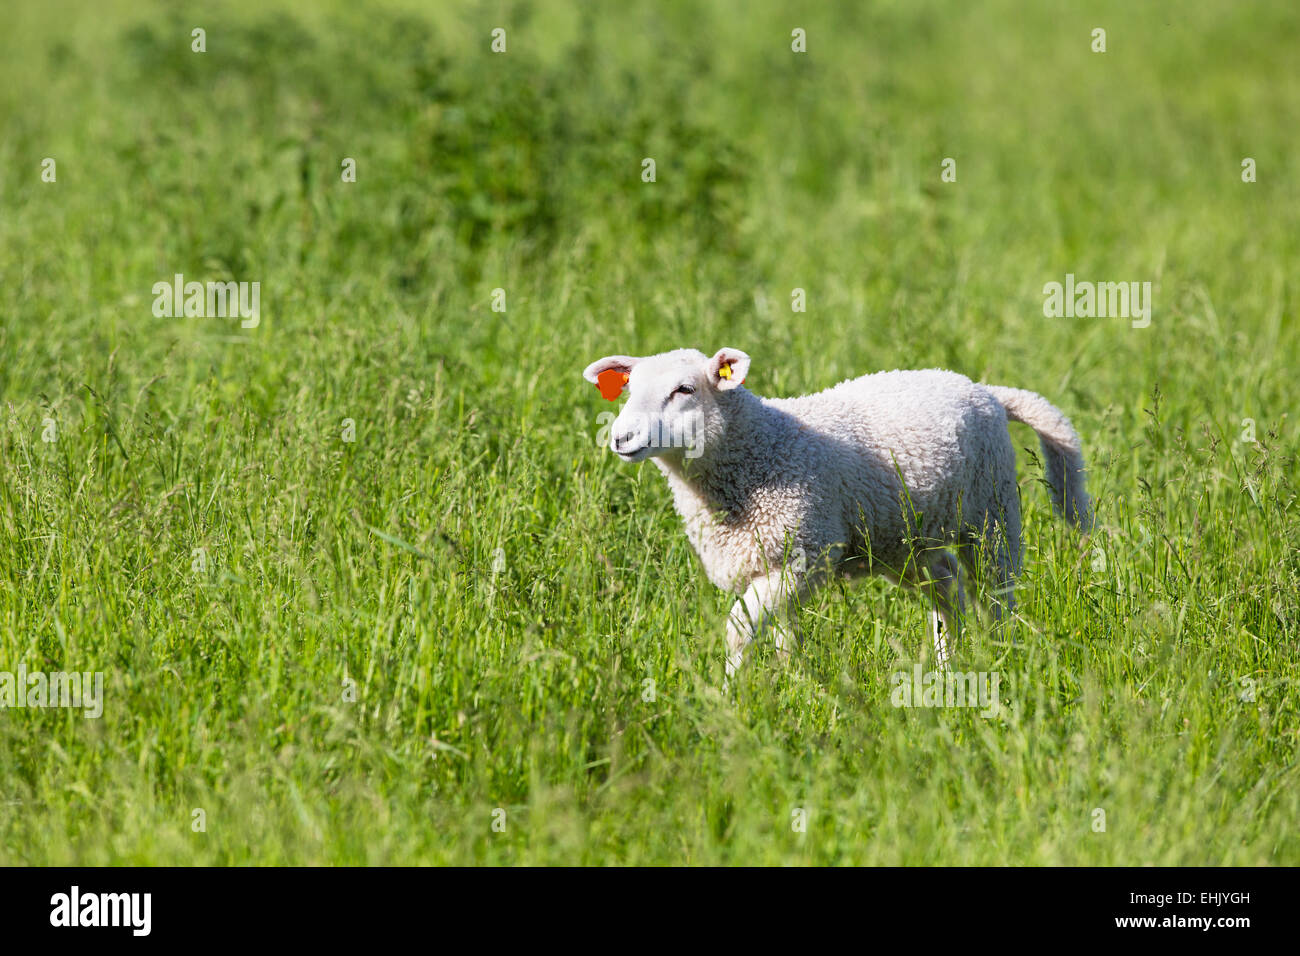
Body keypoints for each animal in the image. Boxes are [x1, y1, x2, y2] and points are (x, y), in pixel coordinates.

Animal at [583, 347, 1093, 677]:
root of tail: (982, 389)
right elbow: (781, 633)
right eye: (629, 390)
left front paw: (729, 697)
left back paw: (1004, 655)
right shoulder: (772, 560)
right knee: (946, 582)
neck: (760, 449)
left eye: (685, 389)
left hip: (991, 512)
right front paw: (793, 682)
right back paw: (948, 662)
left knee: (998, 591)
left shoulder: (803, 553)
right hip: (902, 538)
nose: (621, 437)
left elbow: (738, 629)